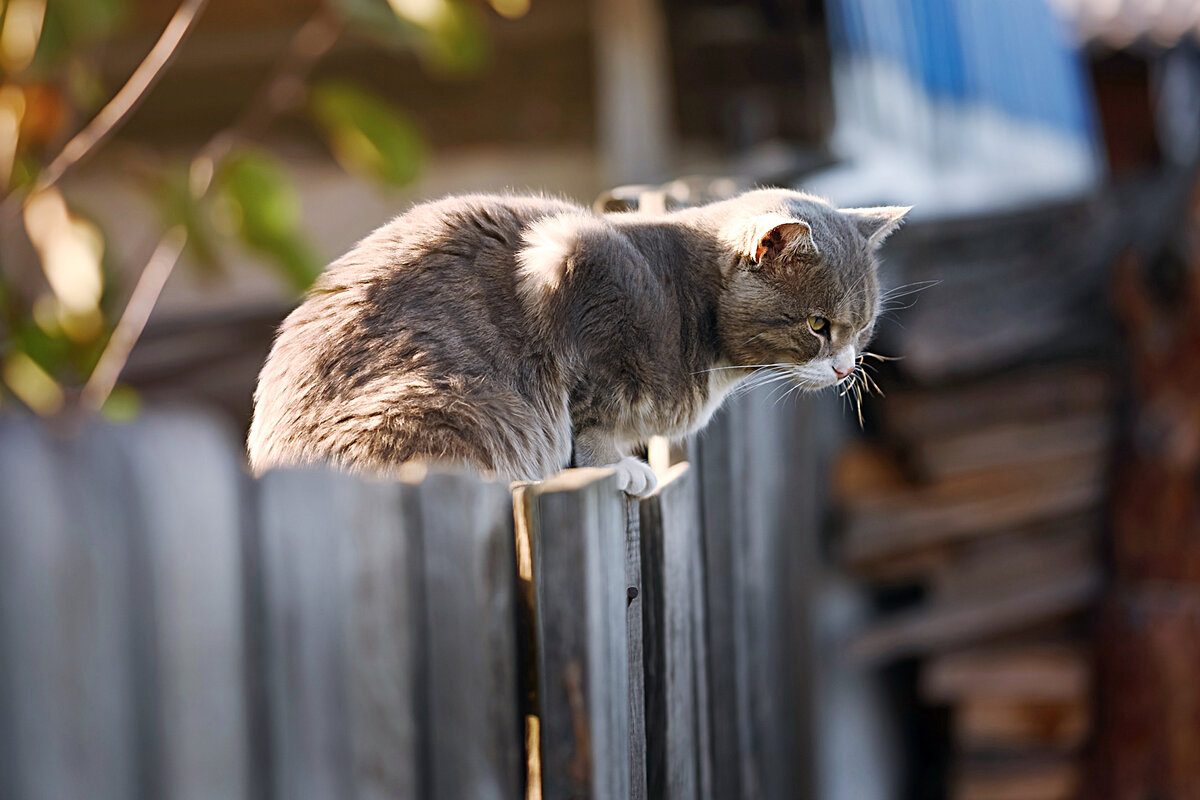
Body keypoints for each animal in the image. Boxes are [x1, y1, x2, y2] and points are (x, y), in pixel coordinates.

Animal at [253, 190, 907, 496]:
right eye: (818, 325)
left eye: (862, 328)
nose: (847, 369)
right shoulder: (571, 262)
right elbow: (591, 417)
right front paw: (618, 467)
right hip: (440, 405)